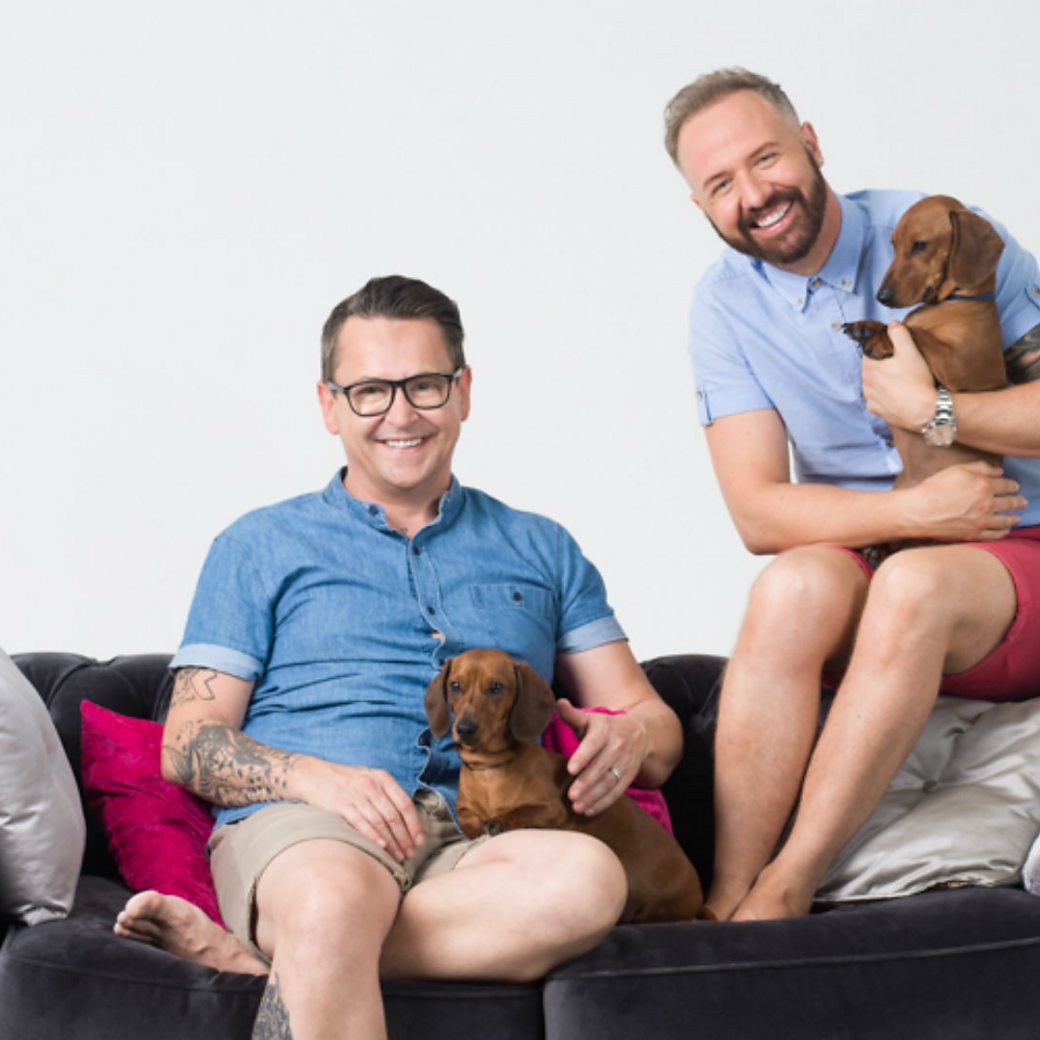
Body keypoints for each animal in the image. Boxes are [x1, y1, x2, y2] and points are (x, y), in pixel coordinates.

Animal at [424, 648, 703, 924]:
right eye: (455, 685)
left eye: (496, 687)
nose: (465, 728)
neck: (490, 770)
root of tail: (699, 898)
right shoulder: (465, 810)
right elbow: (468, 819)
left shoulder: (553, 809)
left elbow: (523, 811)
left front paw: (501, 820)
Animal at [842, 194, 1006, 489]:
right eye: (893, 244)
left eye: (920, 245)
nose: (882, 296)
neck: (953, 302)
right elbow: (902, 324)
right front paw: (867, 327)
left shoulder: (959, 367)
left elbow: (913, 330)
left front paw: (880, 339)